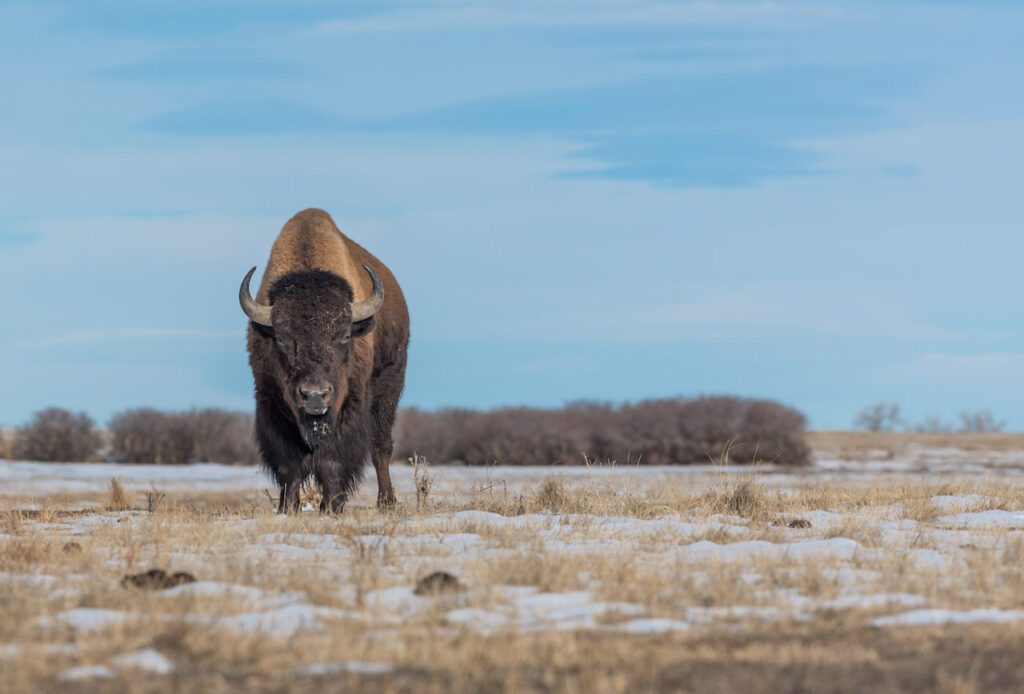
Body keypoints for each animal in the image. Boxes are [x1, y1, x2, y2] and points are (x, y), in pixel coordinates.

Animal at [239, 209, 409, 513]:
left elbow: (333, 460)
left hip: (390, 386)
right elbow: (288, 464)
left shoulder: (349, 405)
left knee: (381, 447)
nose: (315, 395)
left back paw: (386, 502)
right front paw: (287, 508)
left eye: (344, 335)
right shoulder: (269, 401)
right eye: (281, 337)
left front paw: (331, 506)